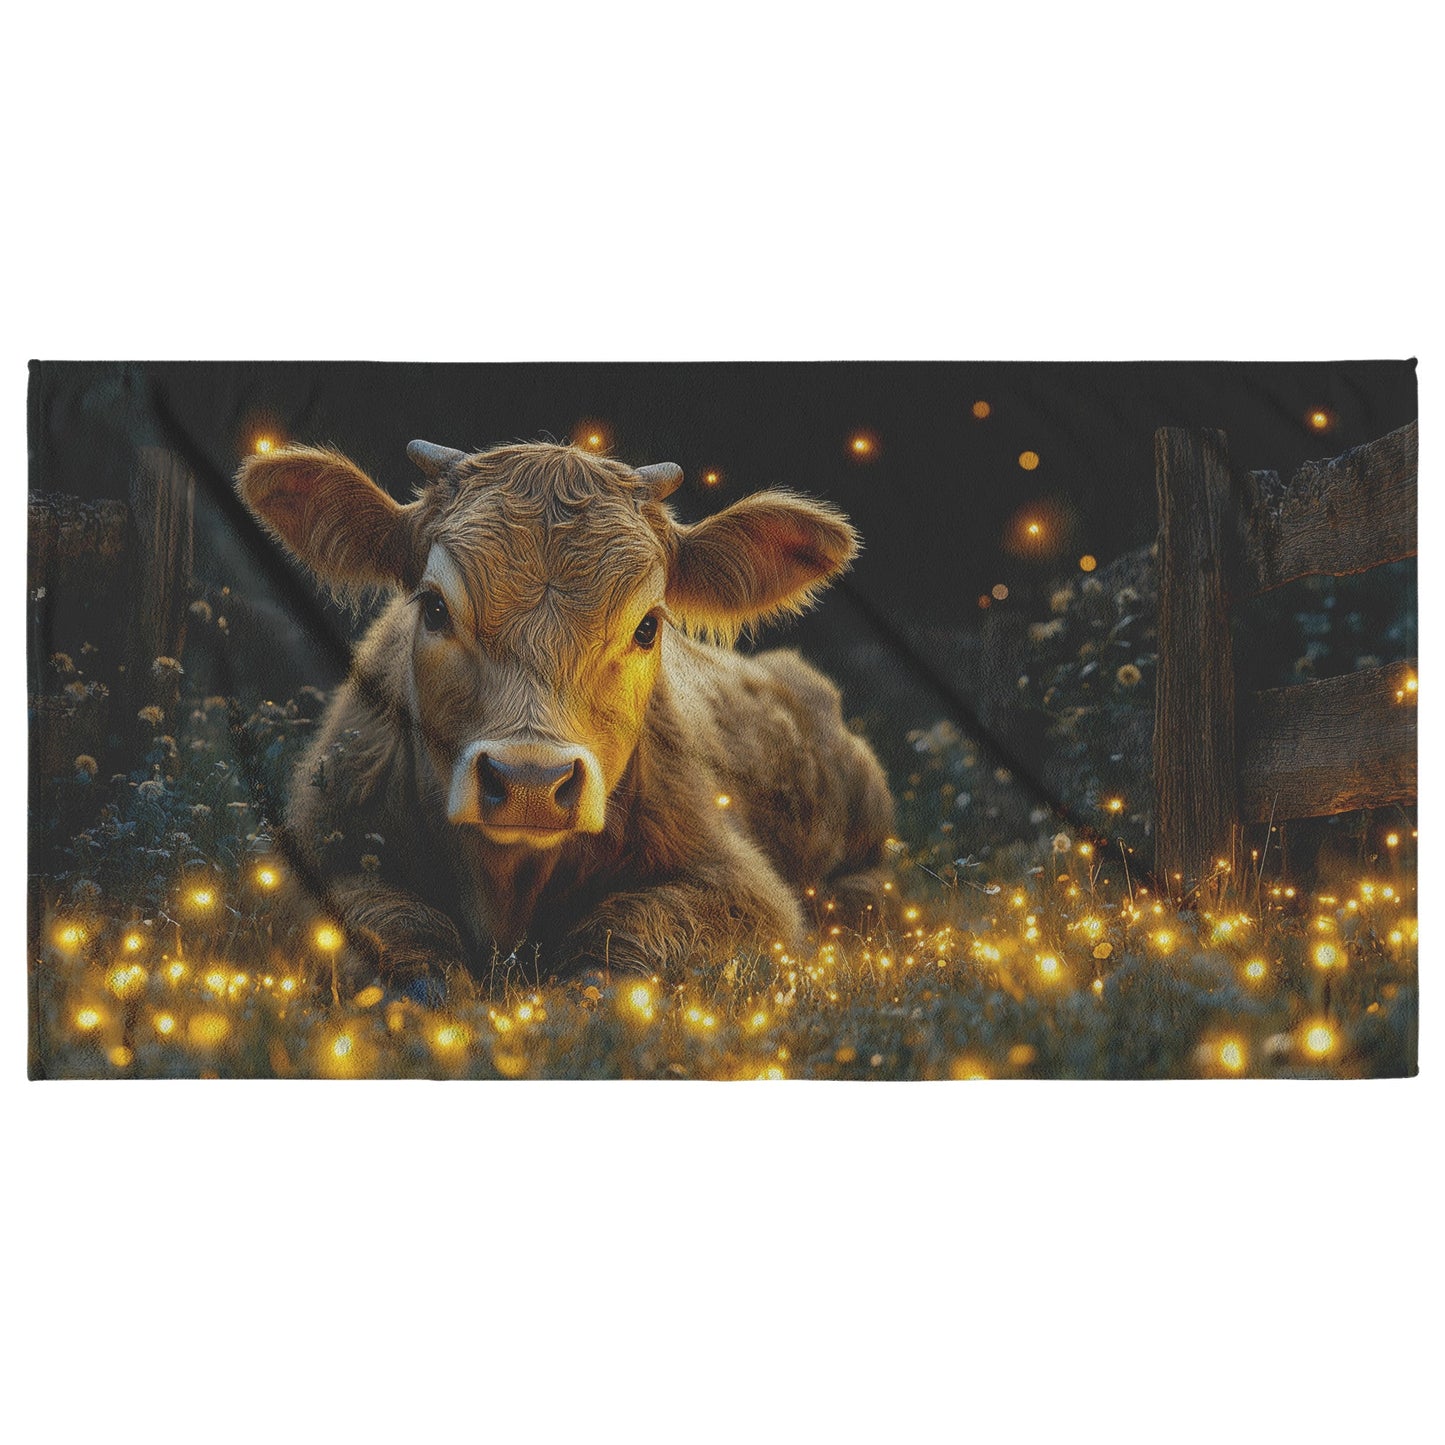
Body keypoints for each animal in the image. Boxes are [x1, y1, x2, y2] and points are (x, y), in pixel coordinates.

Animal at [236, 438, 894, 989]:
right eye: (434, 607)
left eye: (647, 626)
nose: (530, 781)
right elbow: (391, 930)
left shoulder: (744, 889)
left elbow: (622, 943)